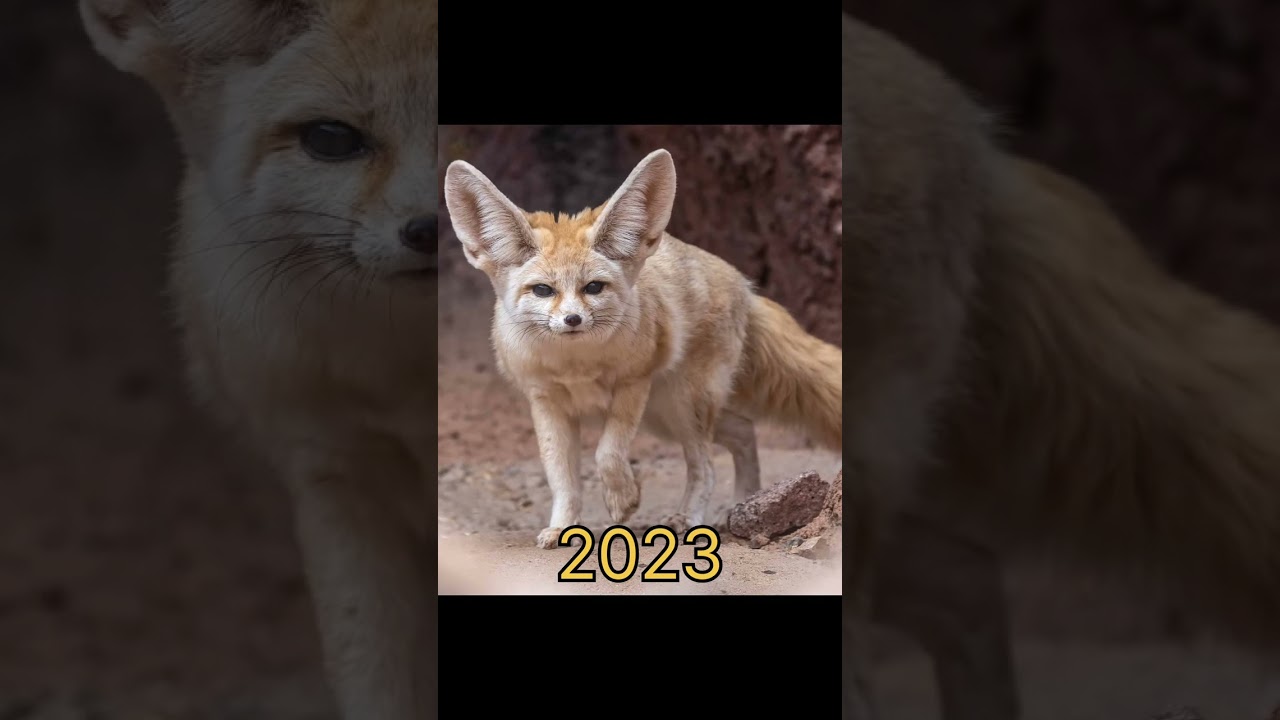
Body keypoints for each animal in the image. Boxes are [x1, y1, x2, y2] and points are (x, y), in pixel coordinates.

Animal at [442, 148, 843, 549]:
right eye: (543, 290)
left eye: (593, 287)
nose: (572, 319)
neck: (576, 365)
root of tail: (745, 286)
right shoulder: (546, 402)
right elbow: (561, 478)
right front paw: (561, 527)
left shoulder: (633, 385)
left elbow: (607, 453)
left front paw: (623, 500)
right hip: (664, 416)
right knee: (744, 431)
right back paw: (744, 501)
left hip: (681, 406)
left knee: (706, 466)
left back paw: (689, 516)